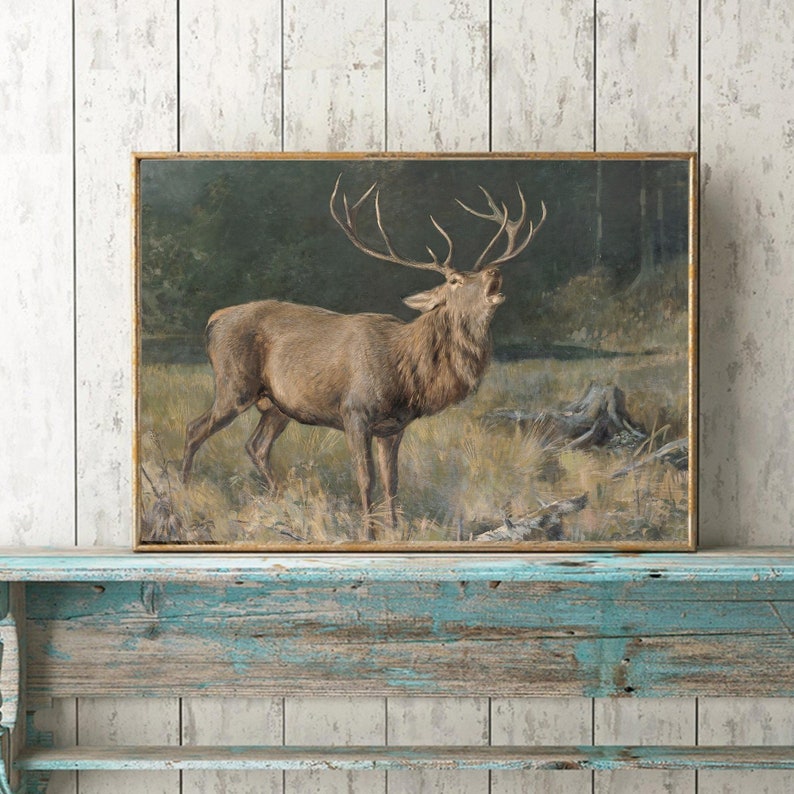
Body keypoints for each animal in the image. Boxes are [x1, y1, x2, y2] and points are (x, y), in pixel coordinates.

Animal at [180, 176, 546, 540]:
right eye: (456, 280)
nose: (494, 272)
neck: (407, 372)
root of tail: (213, 320)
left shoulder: (393, 426)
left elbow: (391, 480)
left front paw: (395, 530)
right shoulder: (354, 412)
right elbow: (365, 477)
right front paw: (368, 533)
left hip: (276, 405)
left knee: (255, 446)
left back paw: (277, 499)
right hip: (234, 385)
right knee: (195, 428)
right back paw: (184, 491)